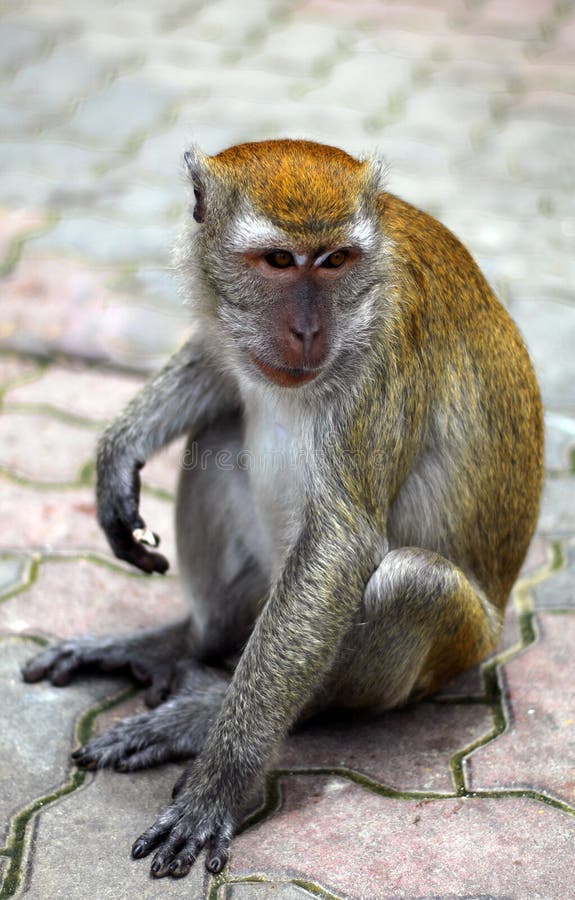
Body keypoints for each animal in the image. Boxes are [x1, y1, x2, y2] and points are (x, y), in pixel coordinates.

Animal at [22, 139, 544, 879]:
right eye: (277, 261)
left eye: (334, 261)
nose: (305, 330)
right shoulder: (236, 330)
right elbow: (218, 367)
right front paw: (118, 449)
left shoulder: (384, 357)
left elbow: (342, 545)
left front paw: (220, 782)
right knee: (217, 432)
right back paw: (183, 641)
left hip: (455, 649)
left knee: (408, 583)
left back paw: (207, 709)